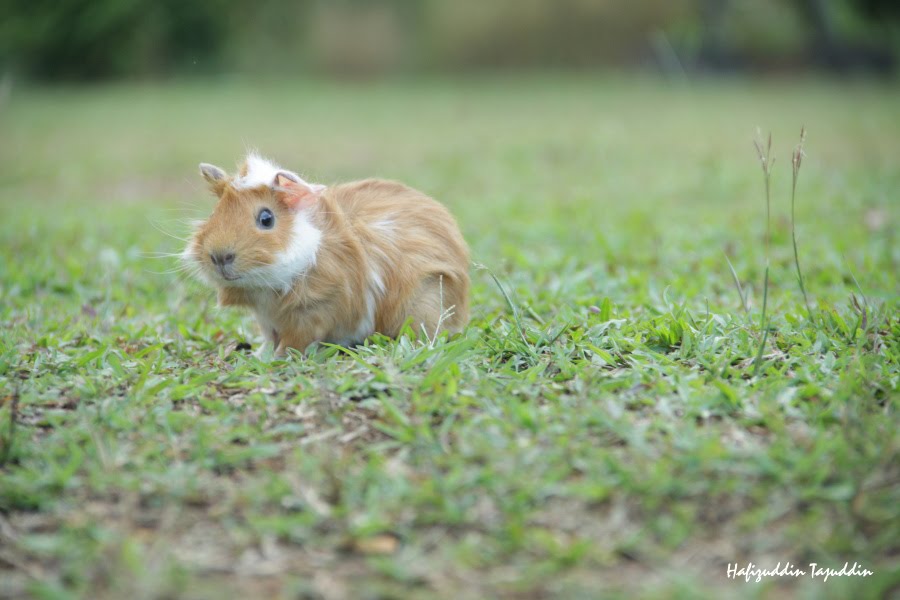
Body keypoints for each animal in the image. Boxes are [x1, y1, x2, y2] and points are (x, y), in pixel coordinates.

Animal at [182, 152, 470, 356]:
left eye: (266, 219)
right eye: (215, 213)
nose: (219, 257)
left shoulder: (313, 312)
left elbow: (293, 342)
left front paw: (279, 358)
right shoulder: (266, 320)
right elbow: (269, 339)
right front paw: (260, 356)